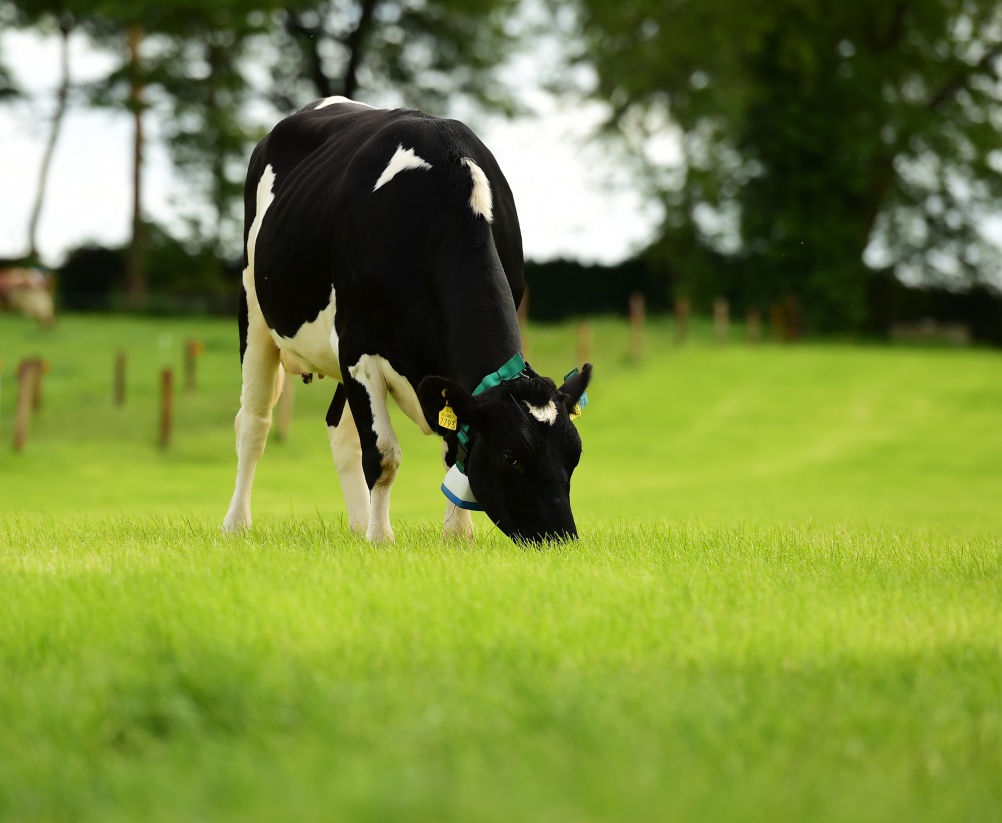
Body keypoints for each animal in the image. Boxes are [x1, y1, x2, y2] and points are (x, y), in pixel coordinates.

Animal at [222, 97, 593, 544]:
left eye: (574, 455)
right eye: (510, 456)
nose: (561, 537)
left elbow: (455, 451)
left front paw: (456, 536)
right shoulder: (357, 344)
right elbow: (383, 455)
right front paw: (382, 538)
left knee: (339, 429)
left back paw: (357, 524)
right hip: (254, 310)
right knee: (254, 423)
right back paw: (237, 523)